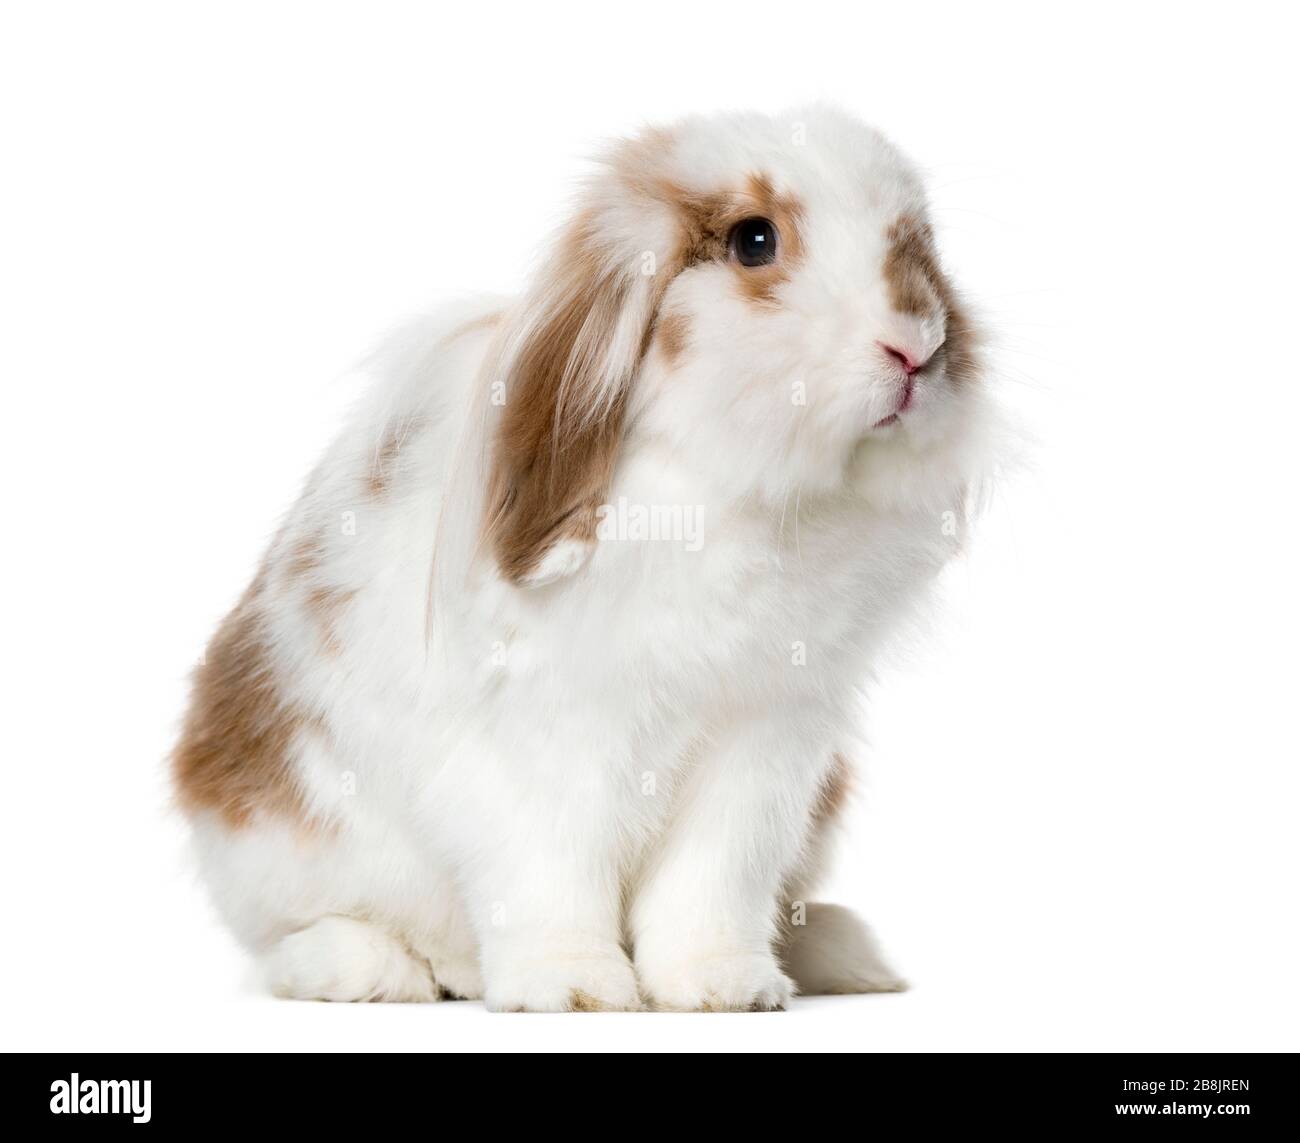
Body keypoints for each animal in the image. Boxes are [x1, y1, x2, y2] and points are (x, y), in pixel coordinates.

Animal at [172, 105, 998, 1011]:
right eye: (753, 240)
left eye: (919, 243)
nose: (915, 347)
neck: (728, 490)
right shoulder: (537, 746)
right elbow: (547, 878)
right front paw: (571, 987)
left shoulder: (763, 746)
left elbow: (712, 884)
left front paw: (724, 986)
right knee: (294, 939)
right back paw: (378, 968)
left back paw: (848, 955)